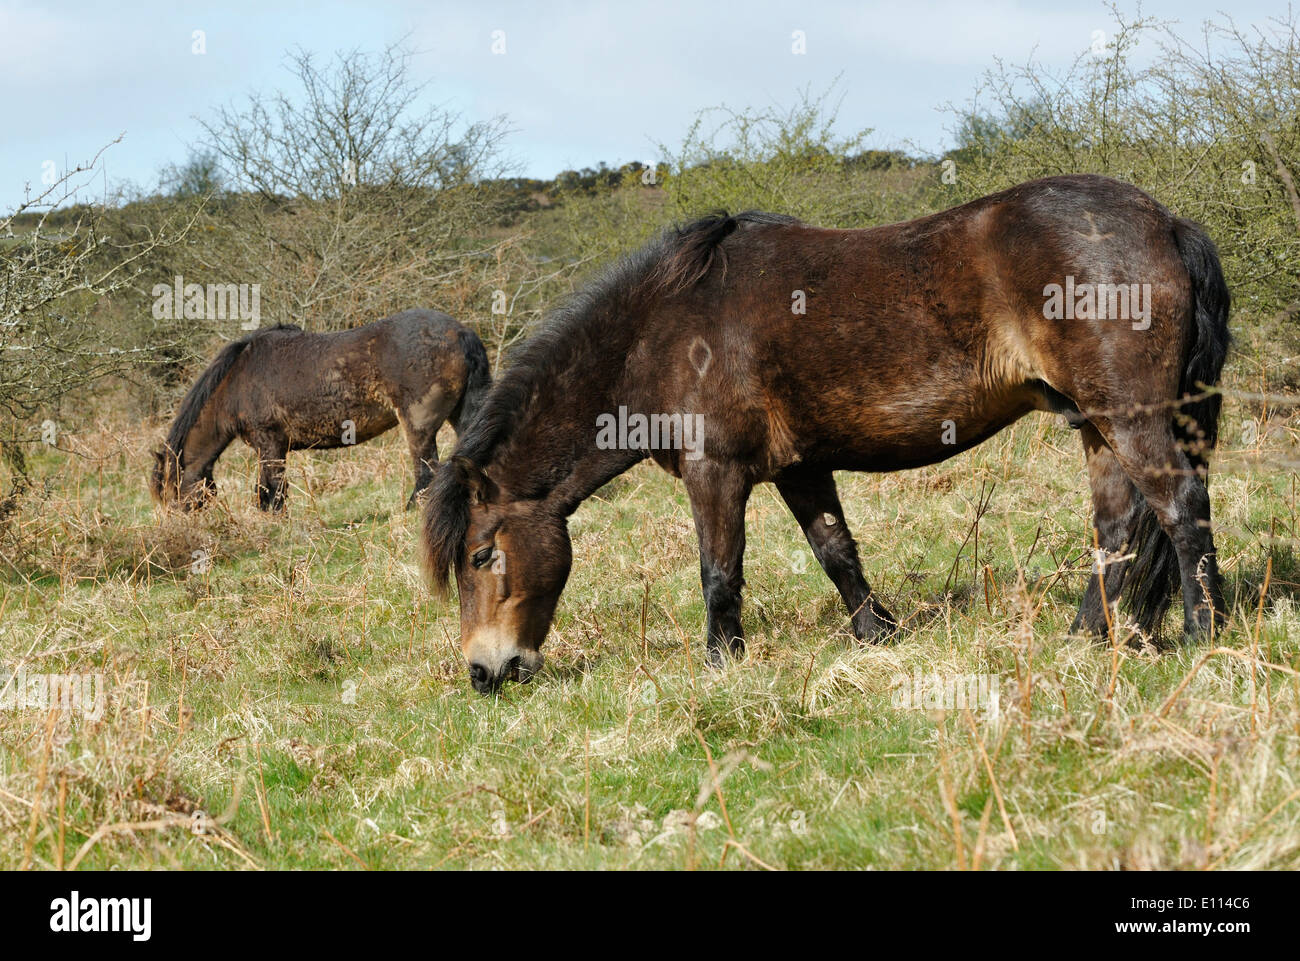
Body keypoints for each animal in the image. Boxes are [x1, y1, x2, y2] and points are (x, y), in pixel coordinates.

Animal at [151, 308, 490, 512]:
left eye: (172, 491)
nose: (182, 525)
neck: (238, 380)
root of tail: (460, 333)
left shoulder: (269, 445)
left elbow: (272, 491)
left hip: (418, 426)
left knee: (426, 470)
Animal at [422, 175, 1232, 695]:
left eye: (482, 554)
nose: (484, 672)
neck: (661, 333)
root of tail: (1166, 222)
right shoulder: (798, 468)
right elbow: (835, 551)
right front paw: (877, 635)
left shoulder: (716, 471)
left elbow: (719, 573)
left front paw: (722, 666)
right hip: (1095, 422)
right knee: (1117, 527)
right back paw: (1085, 639)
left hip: (1127, 414)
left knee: (1181, 508)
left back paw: (1204, 633)